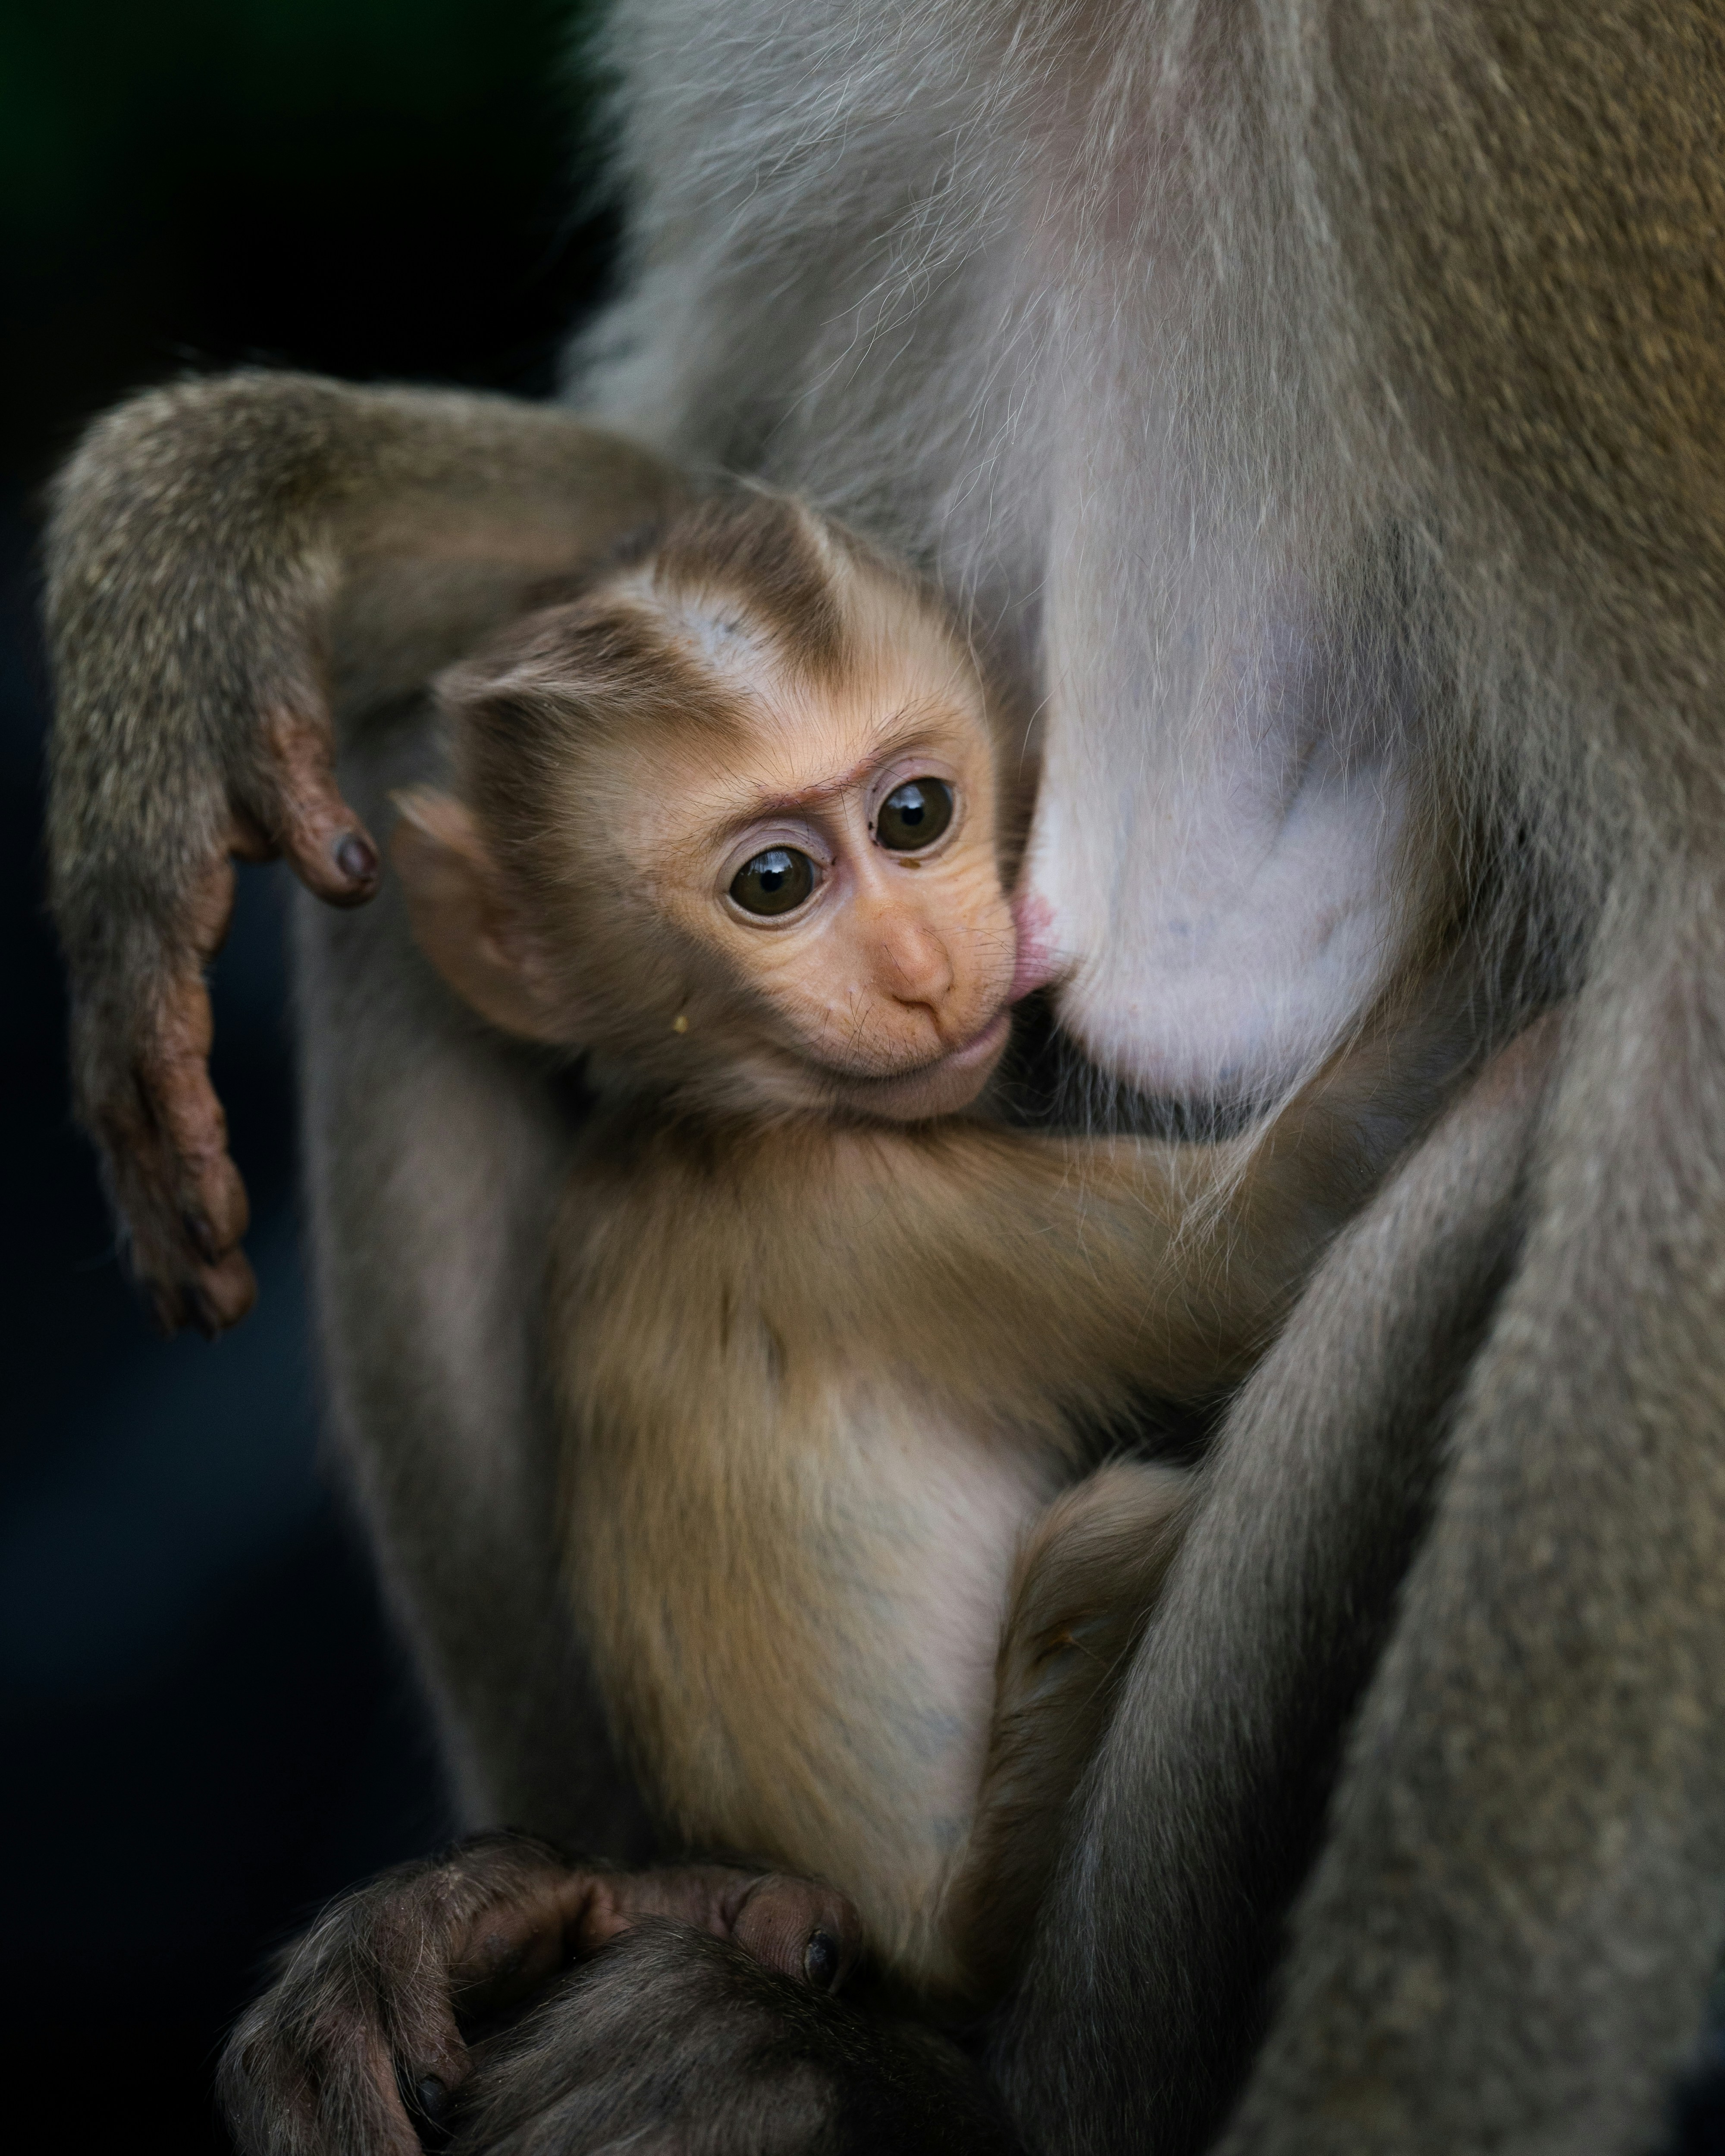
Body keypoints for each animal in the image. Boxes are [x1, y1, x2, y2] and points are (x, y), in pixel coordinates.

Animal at [41, 0, 1725, 2150]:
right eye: (775, 880)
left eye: (919, 816)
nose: (933, 968)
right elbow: (708, 473)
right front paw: (224, 517)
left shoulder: (1505, 99)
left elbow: (1671, 1002)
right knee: (401, 769)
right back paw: (609, 1901)